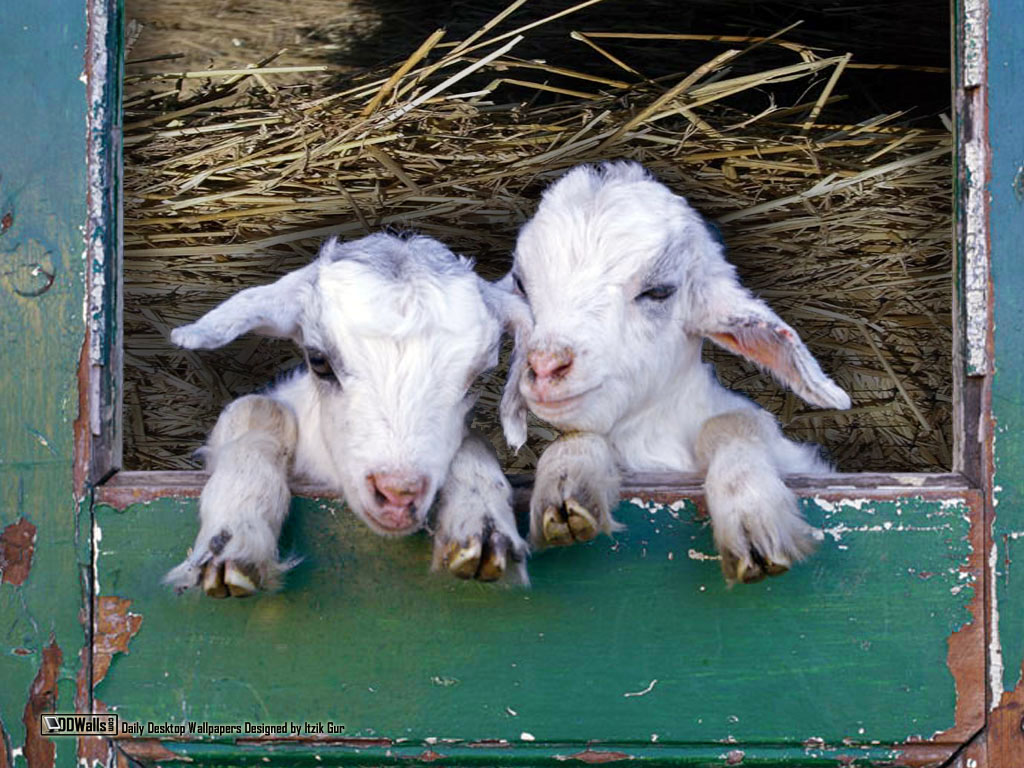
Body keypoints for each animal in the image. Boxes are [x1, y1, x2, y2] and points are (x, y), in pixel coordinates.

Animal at [164, 232, 527, 597]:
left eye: (479, 377)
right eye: (319, 361)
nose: (398, 495)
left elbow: (474, 441)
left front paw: (482, 521)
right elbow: (257, 407)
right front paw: (232, 539)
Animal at [498, 162, 851, 584]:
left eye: (658, 291)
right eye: (521, 284)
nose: (545, 365)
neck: (650, 437)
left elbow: (728, 423)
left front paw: (752, 516)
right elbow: (575, 438)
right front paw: (567, 483)